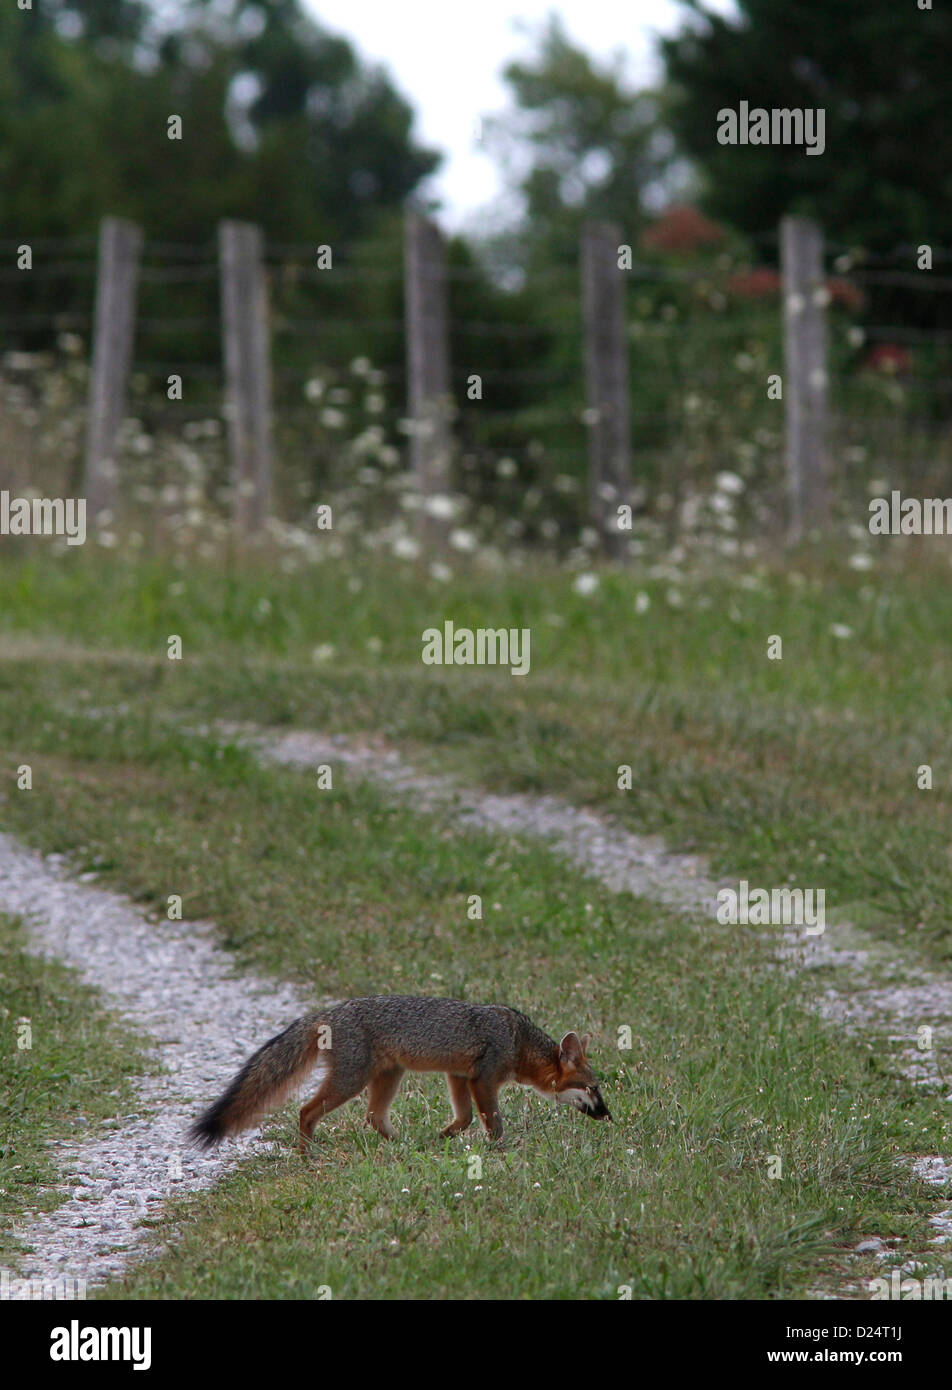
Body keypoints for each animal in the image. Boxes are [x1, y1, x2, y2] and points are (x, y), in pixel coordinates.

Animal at [189, 995, 611, 1151]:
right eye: (593, 1089)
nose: (609, 1116)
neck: (518, 1039)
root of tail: (331, 1012)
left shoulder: (459, 1076)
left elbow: (464, 1117)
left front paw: (443, 1137)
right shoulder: (483, 1079)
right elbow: (493, 1120)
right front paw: (499, 1147)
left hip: (388, 1077)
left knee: (374, 1117)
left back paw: (403, 1144)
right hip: (350, 1081)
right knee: (306, 1112)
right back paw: (310, 1153)